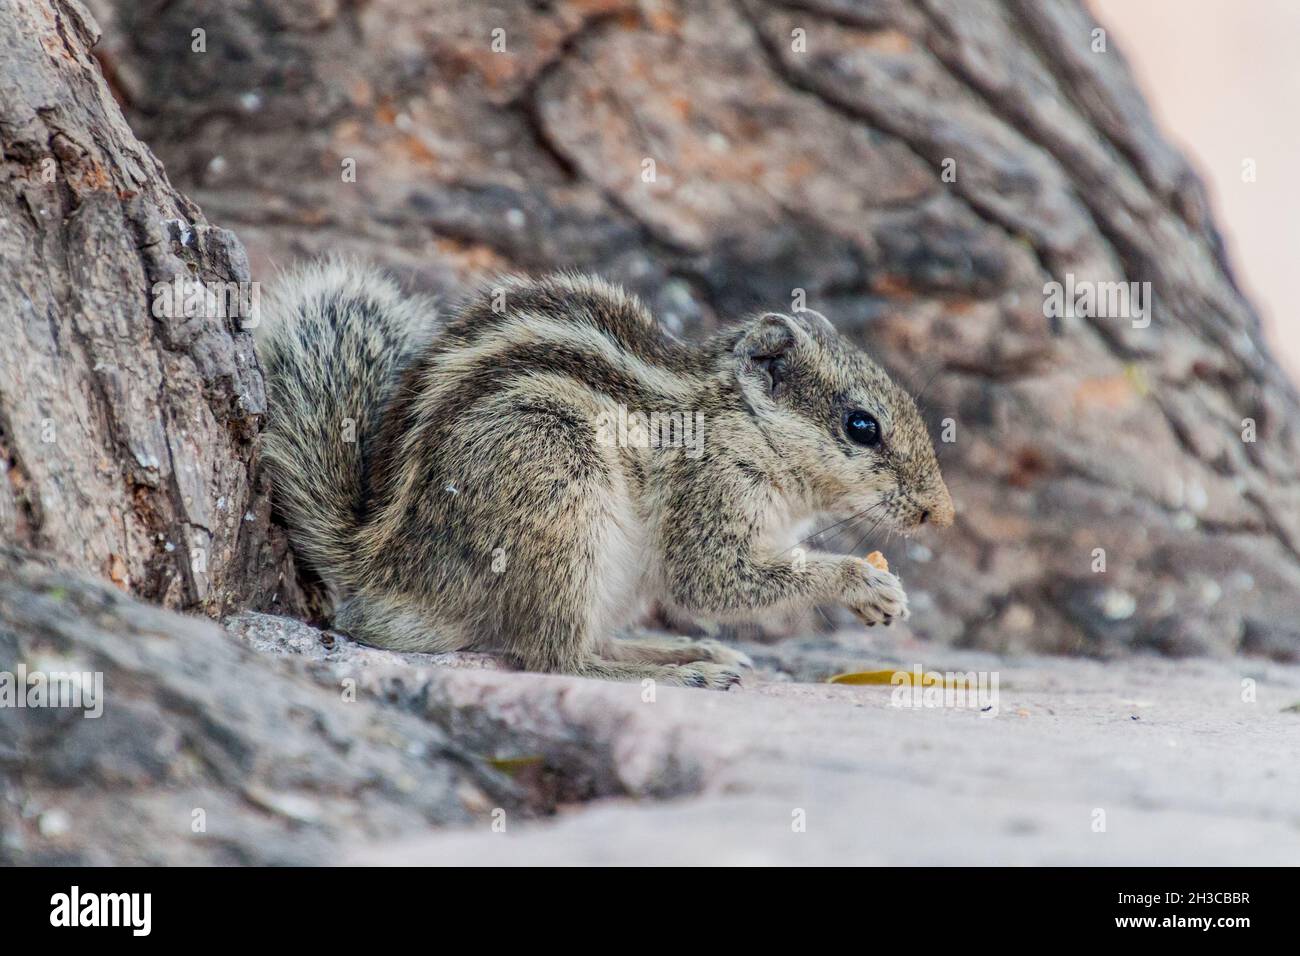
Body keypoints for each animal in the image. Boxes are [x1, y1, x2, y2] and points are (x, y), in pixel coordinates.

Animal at [255, 260, 954, 689]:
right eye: (862, 426)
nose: (940, 514)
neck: (744, 424)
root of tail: (384, 563)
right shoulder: (710, 498)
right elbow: (714, 582)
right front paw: (865, 583)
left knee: (588, 644)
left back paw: (690, 652)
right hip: (558, 497)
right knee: (555, 658)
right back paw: (679, 672)